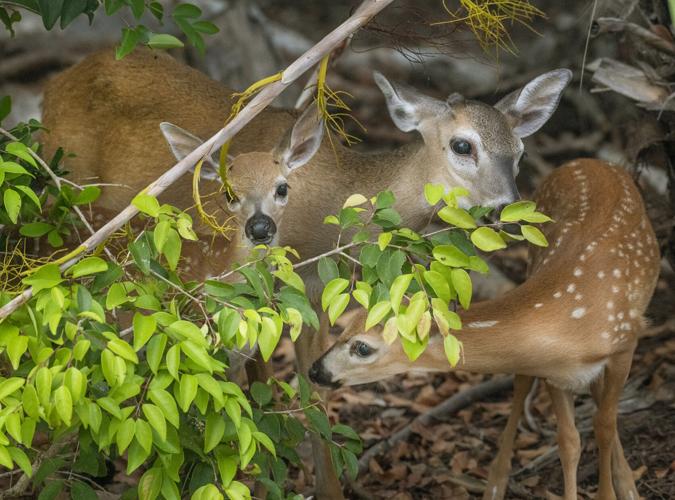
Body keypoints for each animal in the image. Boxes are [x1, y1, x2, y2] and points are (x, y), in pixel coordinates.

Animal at [40, 47, 571, 499]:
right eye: (463, 145)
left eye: (520, 152)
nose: (505, 207)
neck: (333, 204)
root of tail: (54, 83)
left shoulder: (314, 293)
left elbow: (311, 392)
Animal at [309, 159, 661, 500]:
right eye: (347, 325)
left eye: (362, 346)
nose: (314, 371)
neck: (574, 317)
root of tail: (585, 161)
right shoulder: (555, 372)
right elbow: (569, 441)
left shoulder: (626, 340)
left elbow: (604, 426)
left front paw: (611, 492)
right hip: (534, 256)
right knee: (524, 385)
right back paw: (495, 484)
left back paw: (628, 486)